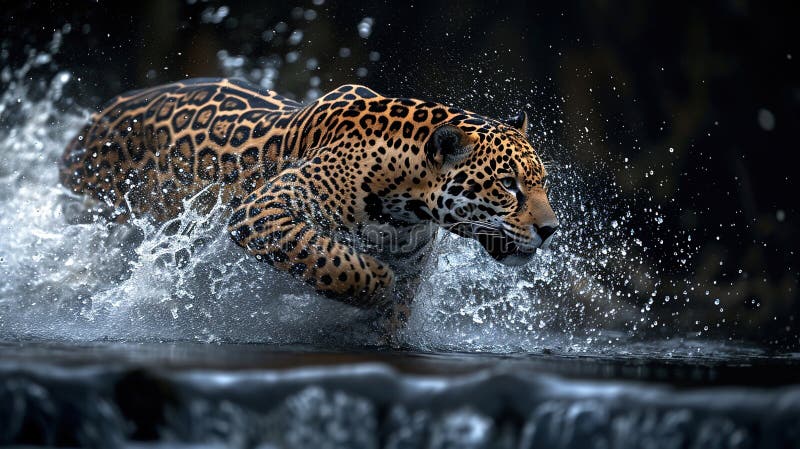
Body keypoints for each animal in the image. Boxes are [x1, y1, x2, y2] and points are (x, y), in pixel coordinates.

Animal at [60, 78, 559, 334]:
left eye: (543, 184)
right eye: (508, 185)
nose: (550, 229)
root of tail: (88, 125)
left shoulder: (414, 259)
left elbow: (394, 314)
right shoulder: (263, 210)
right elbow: (332, 260)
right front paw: (374, 286)